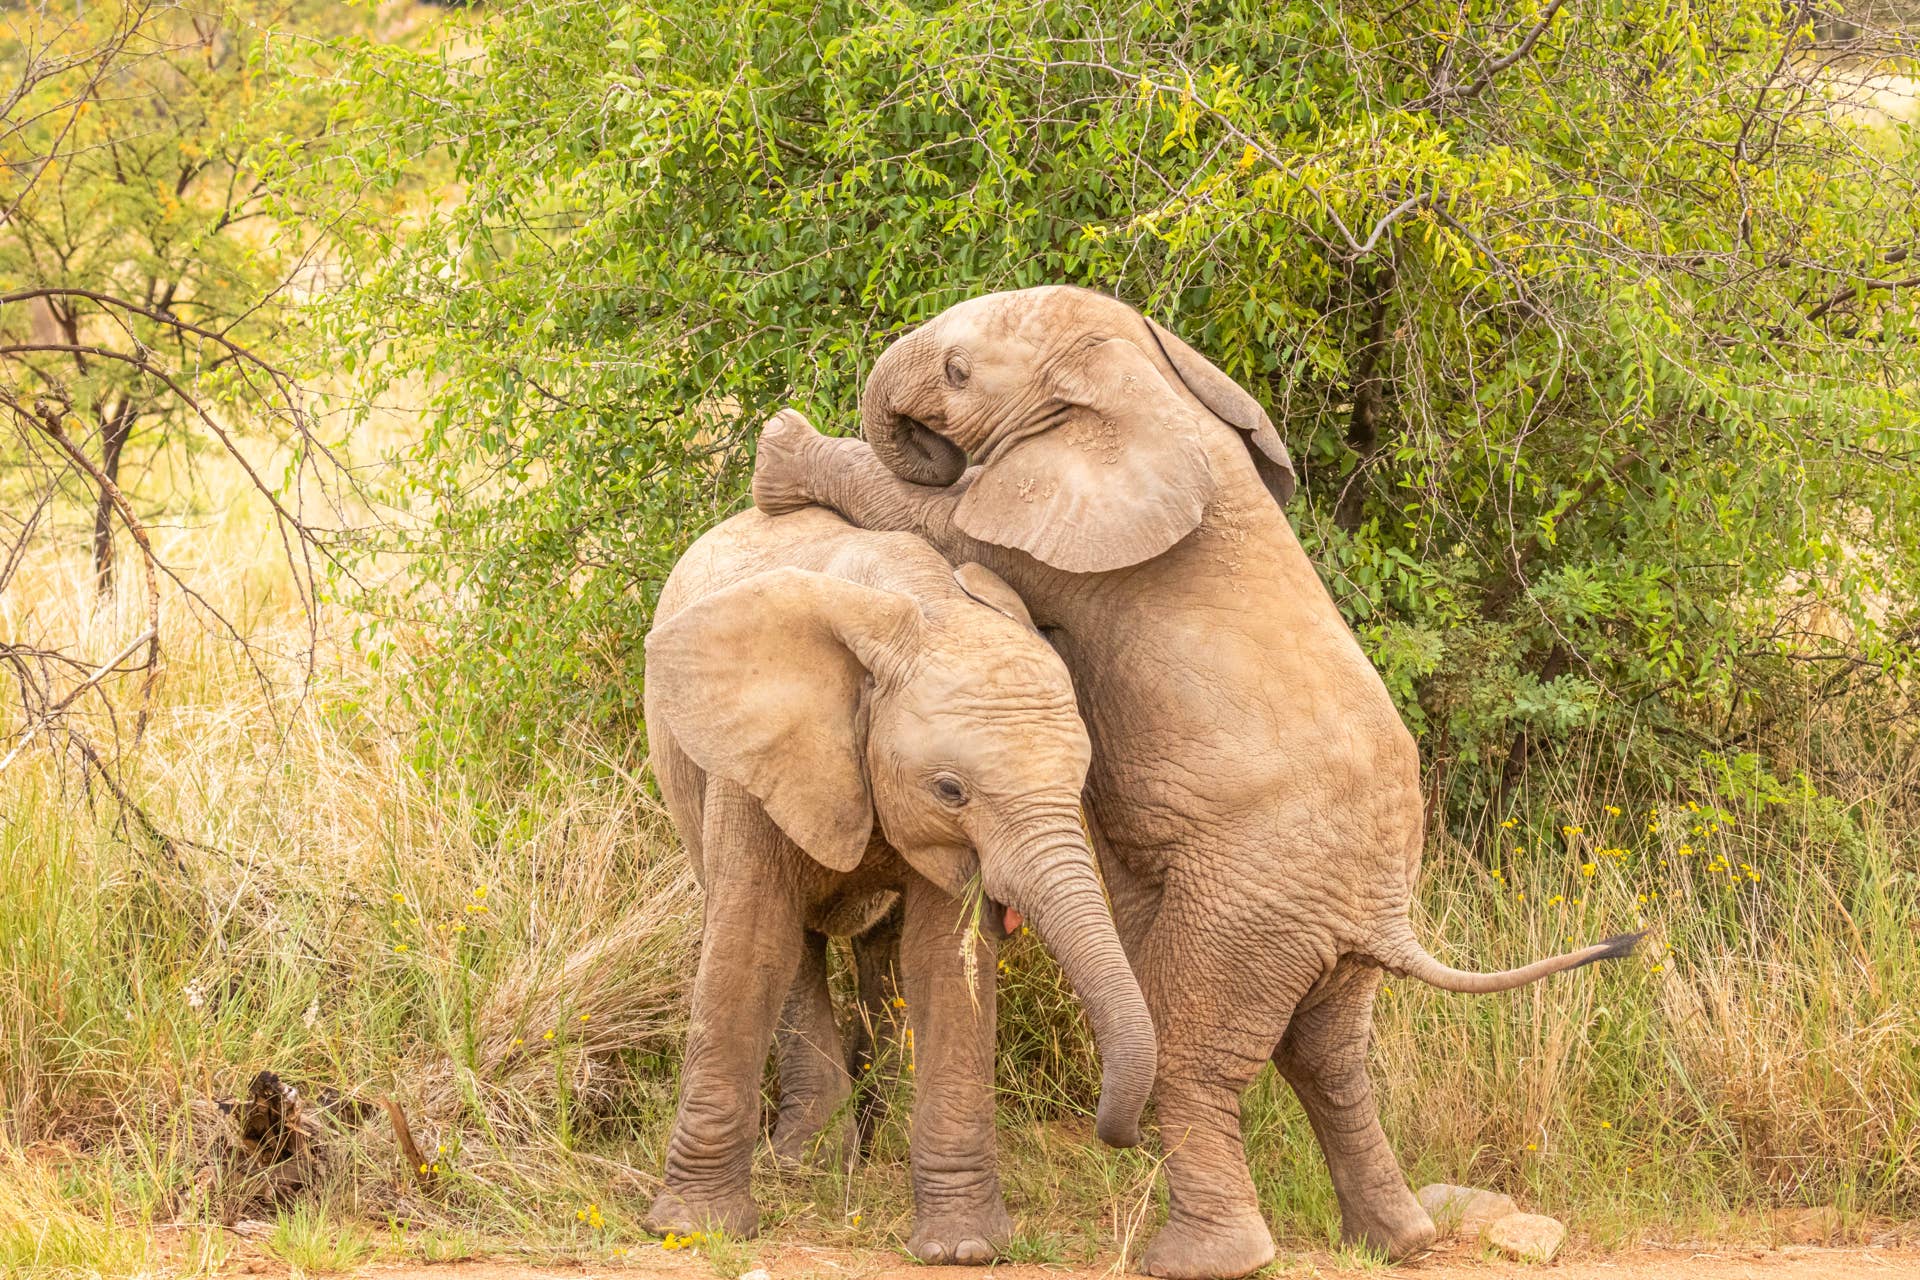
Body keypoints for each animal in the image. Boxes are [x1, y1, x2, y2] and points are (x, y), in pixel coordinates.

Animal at [642, 501, 1156, 1262]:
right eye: (950, 789)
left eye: (1082, 779)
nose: (1127, 1134)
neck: (914, 608)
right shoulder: (755, 755)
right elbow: (750, 943)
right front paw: (690, 1229)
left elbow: (945, 961)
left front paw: (964, 1250)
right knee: (789, 945)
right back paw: (808, 1163)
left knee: (879, 962)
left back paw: (859, 1151)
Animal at [750, 285, 1641, 1278]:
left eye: (957, 370)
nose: (928, 436)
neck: (1146, 379)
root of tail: (1385, 919)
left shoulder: (1055, 543)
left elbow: (931, 517)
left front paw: (782, 448)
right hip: (1315, 929)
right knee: (1330, 1057)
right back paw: (1395, 1241)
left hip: (1254, 903)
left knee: (1189, 1043)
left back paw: (1204, 1258)